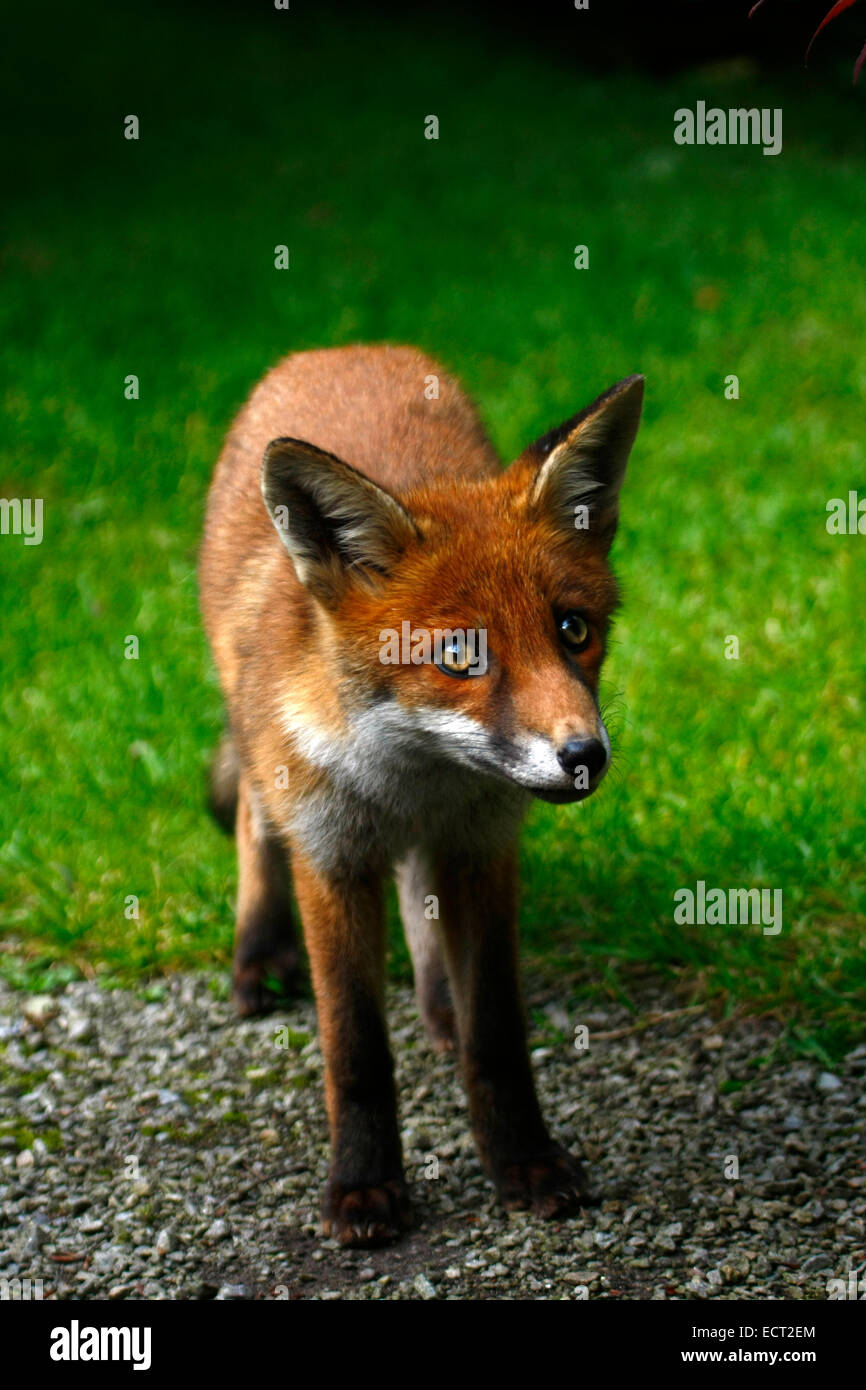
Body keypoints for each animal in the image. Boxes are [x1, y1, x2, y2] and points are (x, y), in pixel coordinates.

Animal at [199, 344, 644, 1247]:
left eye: (574, 629)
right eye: (461, 657)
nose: (584, 756)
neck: (416, 780)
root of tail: (340, 350)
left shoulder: (482, 849)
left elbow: (497, 1034)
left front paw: (524, 1162)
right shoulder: (331, 859)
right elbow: (356, 1050)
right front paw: (364, 1187)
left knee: (417, 893)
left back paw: (438, 1004)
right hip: (259, 748)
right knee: (256, 821)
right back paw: (259, 955)